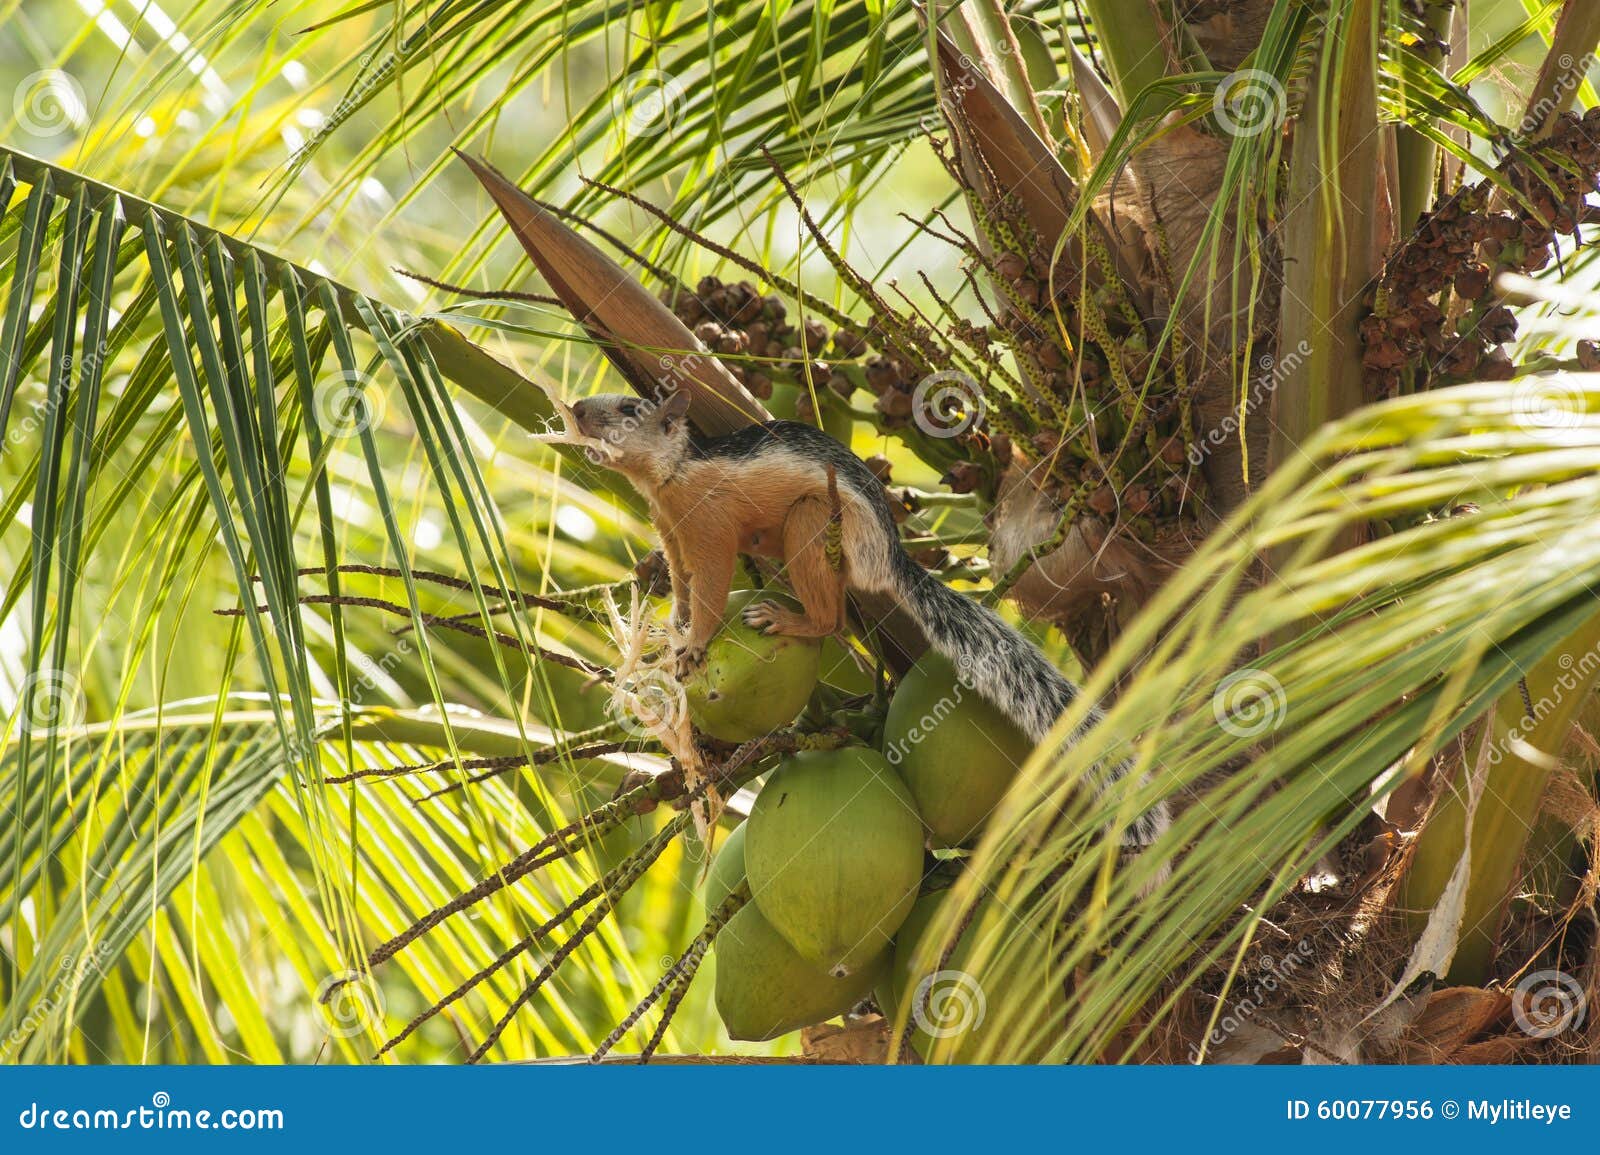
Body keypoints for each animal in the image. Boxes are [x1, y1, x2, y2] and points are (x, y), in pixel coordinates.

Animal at [567, 390, 1167, 846]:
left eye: (630, 409)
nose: (574, 408)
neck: (673, 474)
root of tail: (891, 558)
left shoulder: (709, 527)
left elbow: (711, 589)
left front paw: (694, 646)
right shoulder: (672, 532)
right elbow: (683, 586)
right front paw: (675, 632)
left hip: (812, 522)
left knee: (832, 621)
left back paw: (791, 621)